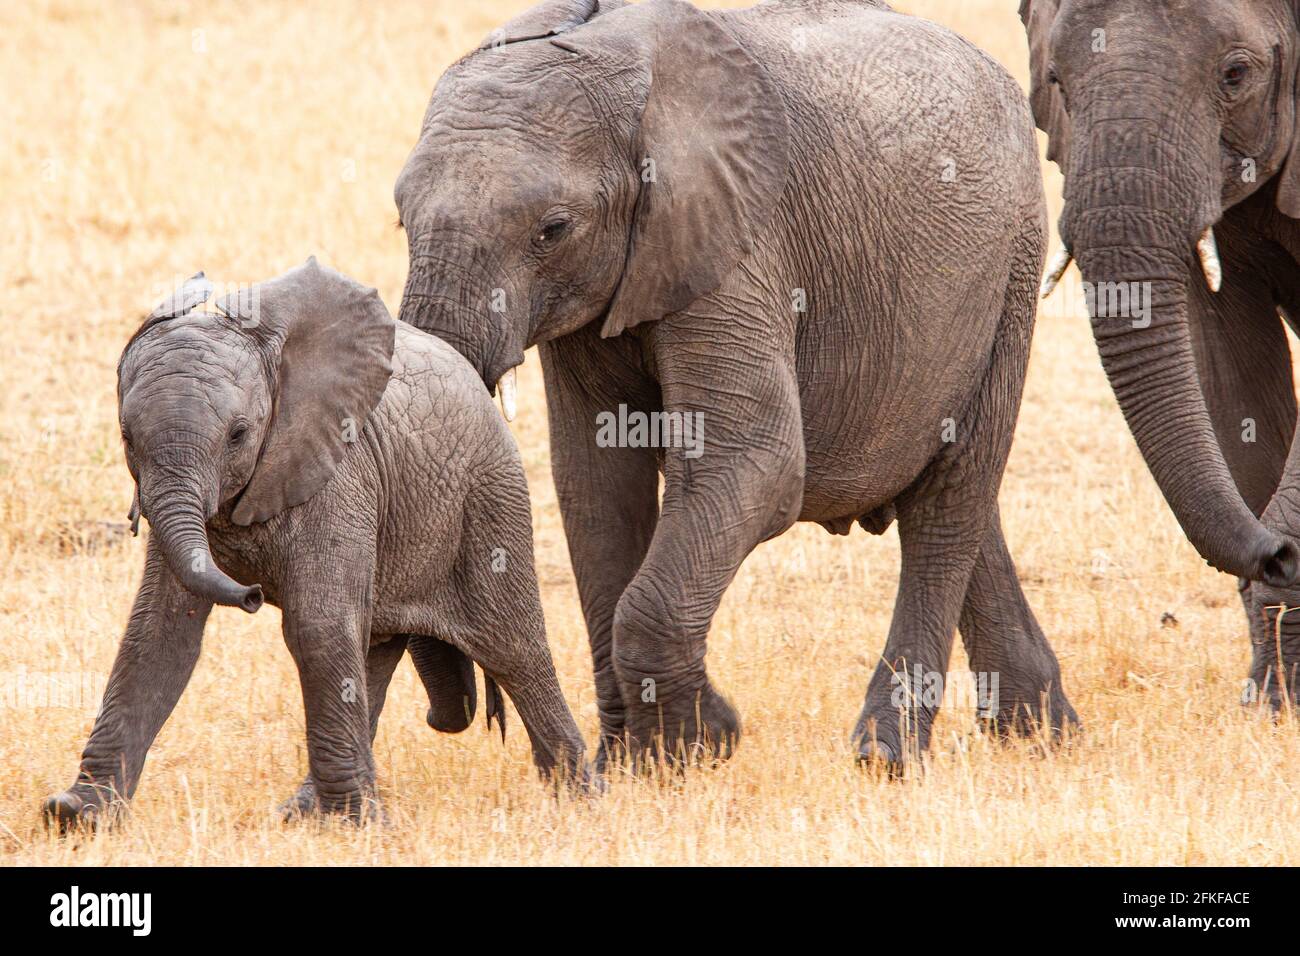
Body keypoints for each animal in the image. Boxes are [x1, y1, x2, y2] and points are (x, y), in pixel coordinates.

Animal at [43, 260, 586, 830]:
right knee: (372, 649)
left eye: (238, 435)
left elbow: (315, 626)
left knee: (514, 649)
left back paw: (580, 796)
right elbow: (158, 633)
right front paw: (75, 814)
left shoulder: (339, 475)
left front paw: (358, 826)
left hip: (490, 498)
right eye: (127, 438)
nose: (253, 594)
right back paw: (302, 812)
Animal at [394, 0, 1080, 769]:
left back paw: (885, 756)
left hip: (1012, 265)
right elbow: (597, 485)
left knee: (951, 495)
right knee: (947, 489)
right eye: (400, 218)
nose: (464, 715)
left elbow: (756, 462)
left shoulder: (739, 244)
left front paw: (708, 739)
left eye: (553, 230)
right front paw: (635, 763)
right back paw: (1040, 732)